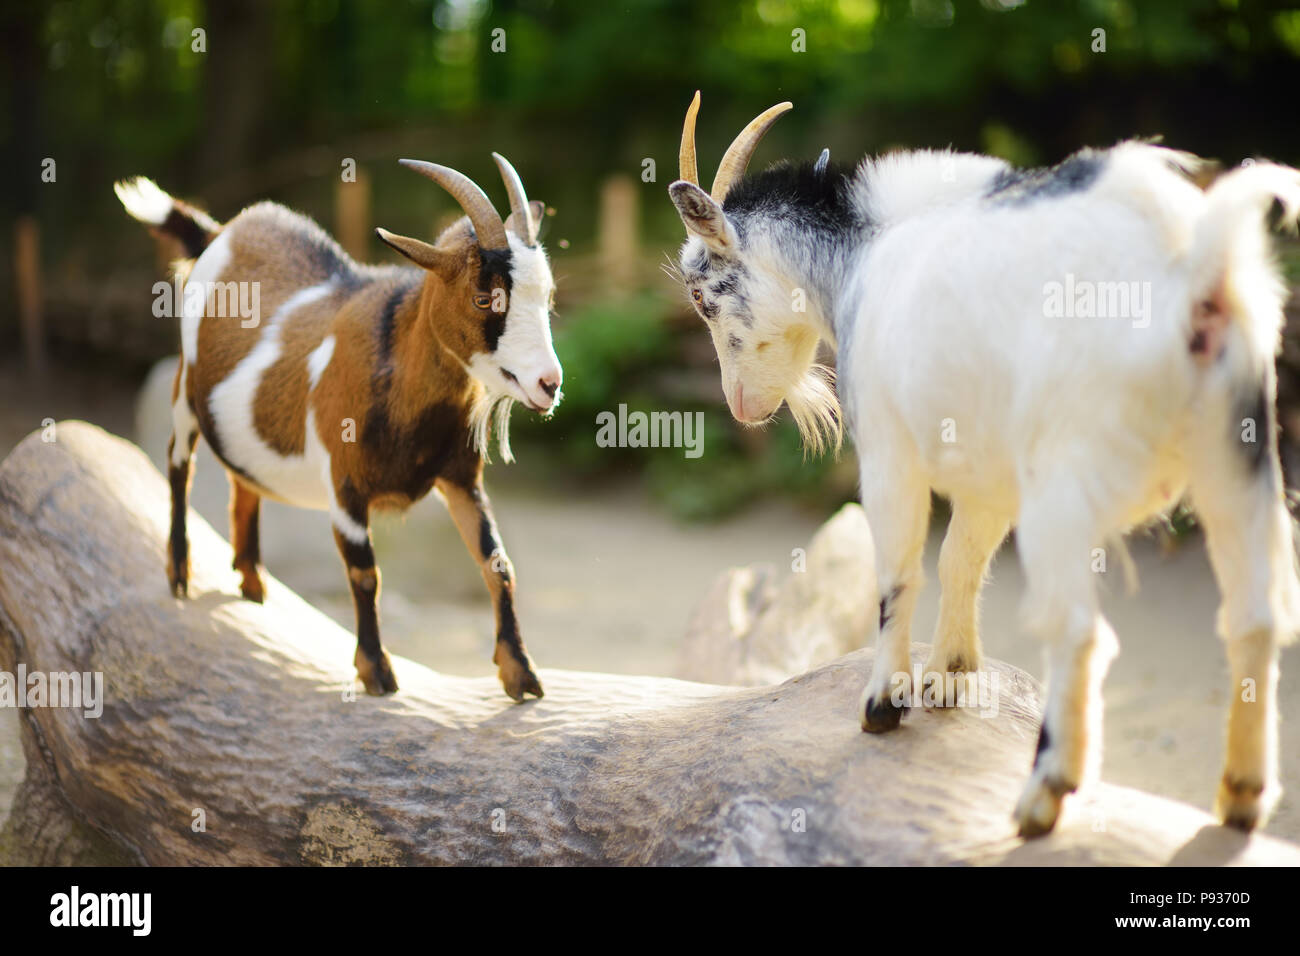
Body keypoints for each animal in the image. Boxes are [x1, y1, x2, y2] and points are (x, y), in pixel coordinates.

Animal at [115, 155, 561, 701]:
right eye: (484, 298)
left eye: (547, 296)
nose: (549, 384)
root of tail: (220, 232)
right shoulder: (344, 482)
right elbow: (365, 573)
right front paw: (376, 671)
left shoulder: (461, 478)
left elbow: (497, 563)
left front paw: (520, 673)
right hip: (184, 388)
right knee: (180, 462)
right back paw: (179, 572)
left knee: (243, 480)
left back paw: (252, 582)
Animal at [667, 91, 1300, 837]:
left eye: (703, 296)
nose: (741, 405)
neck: (864, 252)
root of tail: (1195, 262)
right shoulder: (988, 479)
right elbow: (960, 561)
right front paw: (949, 675)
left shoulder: (889, 451)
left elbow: (899, 573)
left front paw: (883, 705)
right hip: (1238, 456)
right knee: (1255, 618)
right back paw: (1241, 796)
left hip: (1066, 482)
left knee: (1080, 631)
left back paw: (1044, 794)